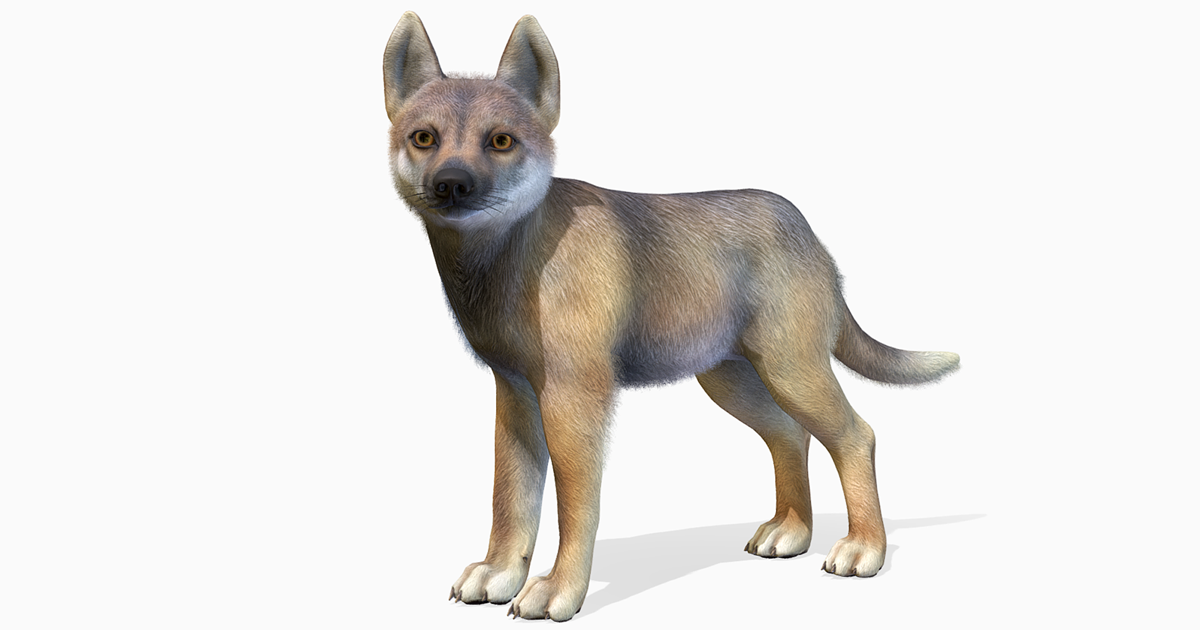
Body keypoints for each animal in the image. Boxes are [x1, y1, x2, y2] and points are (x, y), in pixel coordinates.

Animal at [383, 12, 959, 621]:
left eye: (501, 141)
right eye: (424, 138)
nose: (451, 184)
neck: (513, 256)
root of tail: (806, 231)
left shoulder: (575, 396)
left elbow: (575, 505)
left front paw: (560, 589)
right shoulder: (515, 392)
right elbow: (510, 498)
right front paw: (498, 573)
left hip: (791, 370)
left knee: (855, 436)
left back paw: (864, 547)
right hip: (731, 378)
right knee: (790, 436)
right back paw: (791, 532)